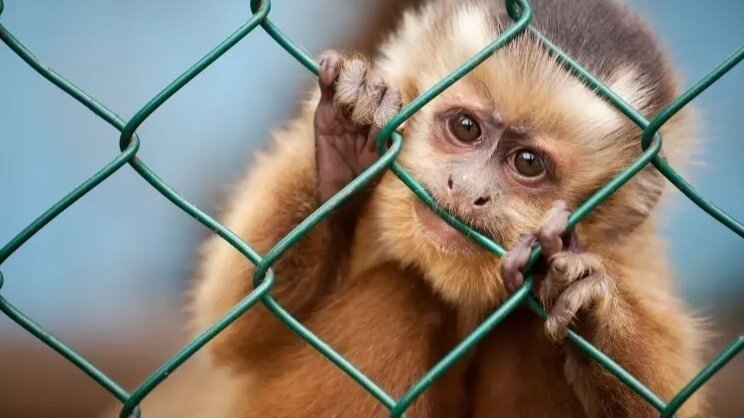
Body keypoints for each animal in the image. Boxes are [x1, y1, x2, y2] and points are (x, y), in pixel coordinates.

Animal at [187, 0, 708, 417]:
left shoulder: (628, 251)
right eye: (465, 127)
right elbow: (242, 326)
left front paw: (592, 301)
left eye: (528, 163)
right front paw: (344, 149)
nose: (469, 188)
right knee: (402, 294)